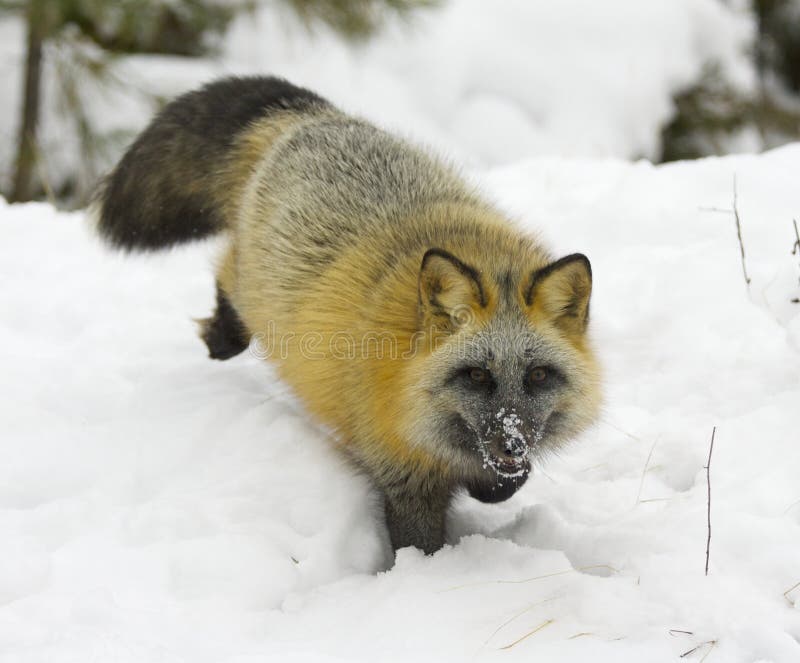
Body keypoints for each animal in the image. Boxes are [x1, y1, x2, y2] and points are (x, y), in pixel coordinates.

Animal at [93, 76, 601, 556]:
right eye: (476, 375)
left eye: (538, 376)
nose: (512, 443)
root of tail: (315, 117)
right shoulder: (401, 472)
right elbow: (419, 545)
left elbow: (503, 484)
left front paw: (491, 485)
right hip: (254, 286)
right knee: (225, 272)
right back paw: (222, 336)